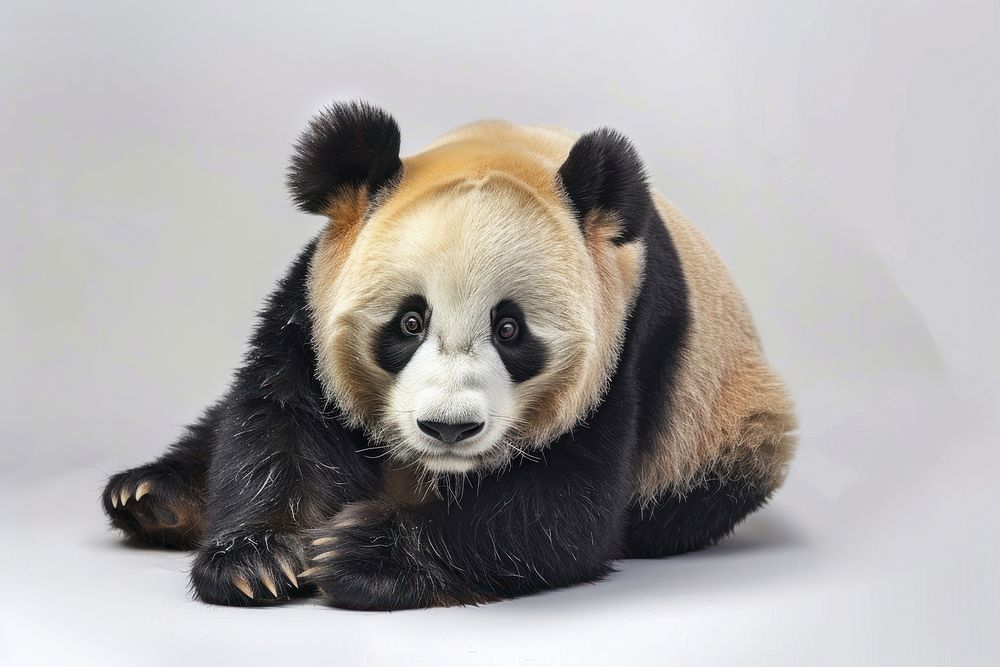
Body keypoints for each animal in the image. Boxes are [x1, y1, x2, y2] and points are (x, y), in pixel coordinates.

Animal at [102, 101, 796, 610]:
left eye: (510, 330)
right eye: (410, 322)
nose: (449, 428)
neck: (511, 145)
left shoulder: (624, 345)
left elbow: (561, 509)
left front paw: (356, 554)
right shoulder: (313, 300)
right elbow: (280, 422)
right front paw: (259, 562)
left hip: (723, 428)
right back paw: (151, 496)